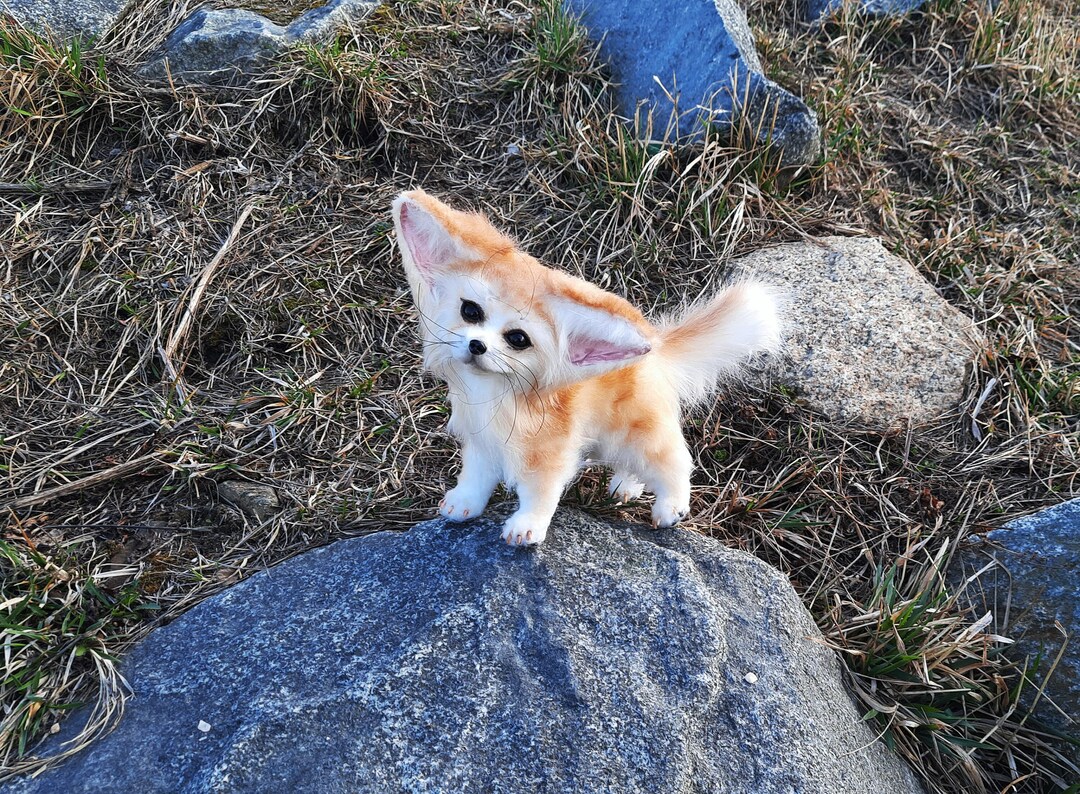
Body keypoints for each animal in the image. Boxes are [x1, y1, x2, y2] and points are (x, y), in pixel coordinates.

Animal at [392, 189, 780, 546]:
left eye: (518, 339)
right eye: (470, 311)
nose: (477, 345)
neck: (493, 392)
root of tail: (656, 352)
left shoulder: (547, 454)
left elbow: (540, 493)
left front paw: (526, 528)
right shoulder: (482, 441)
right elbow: (475, 478)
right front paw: (463, 505)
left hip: (639, 433)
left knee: (672, 462)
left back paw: (671, 506)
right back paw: (626, 486)